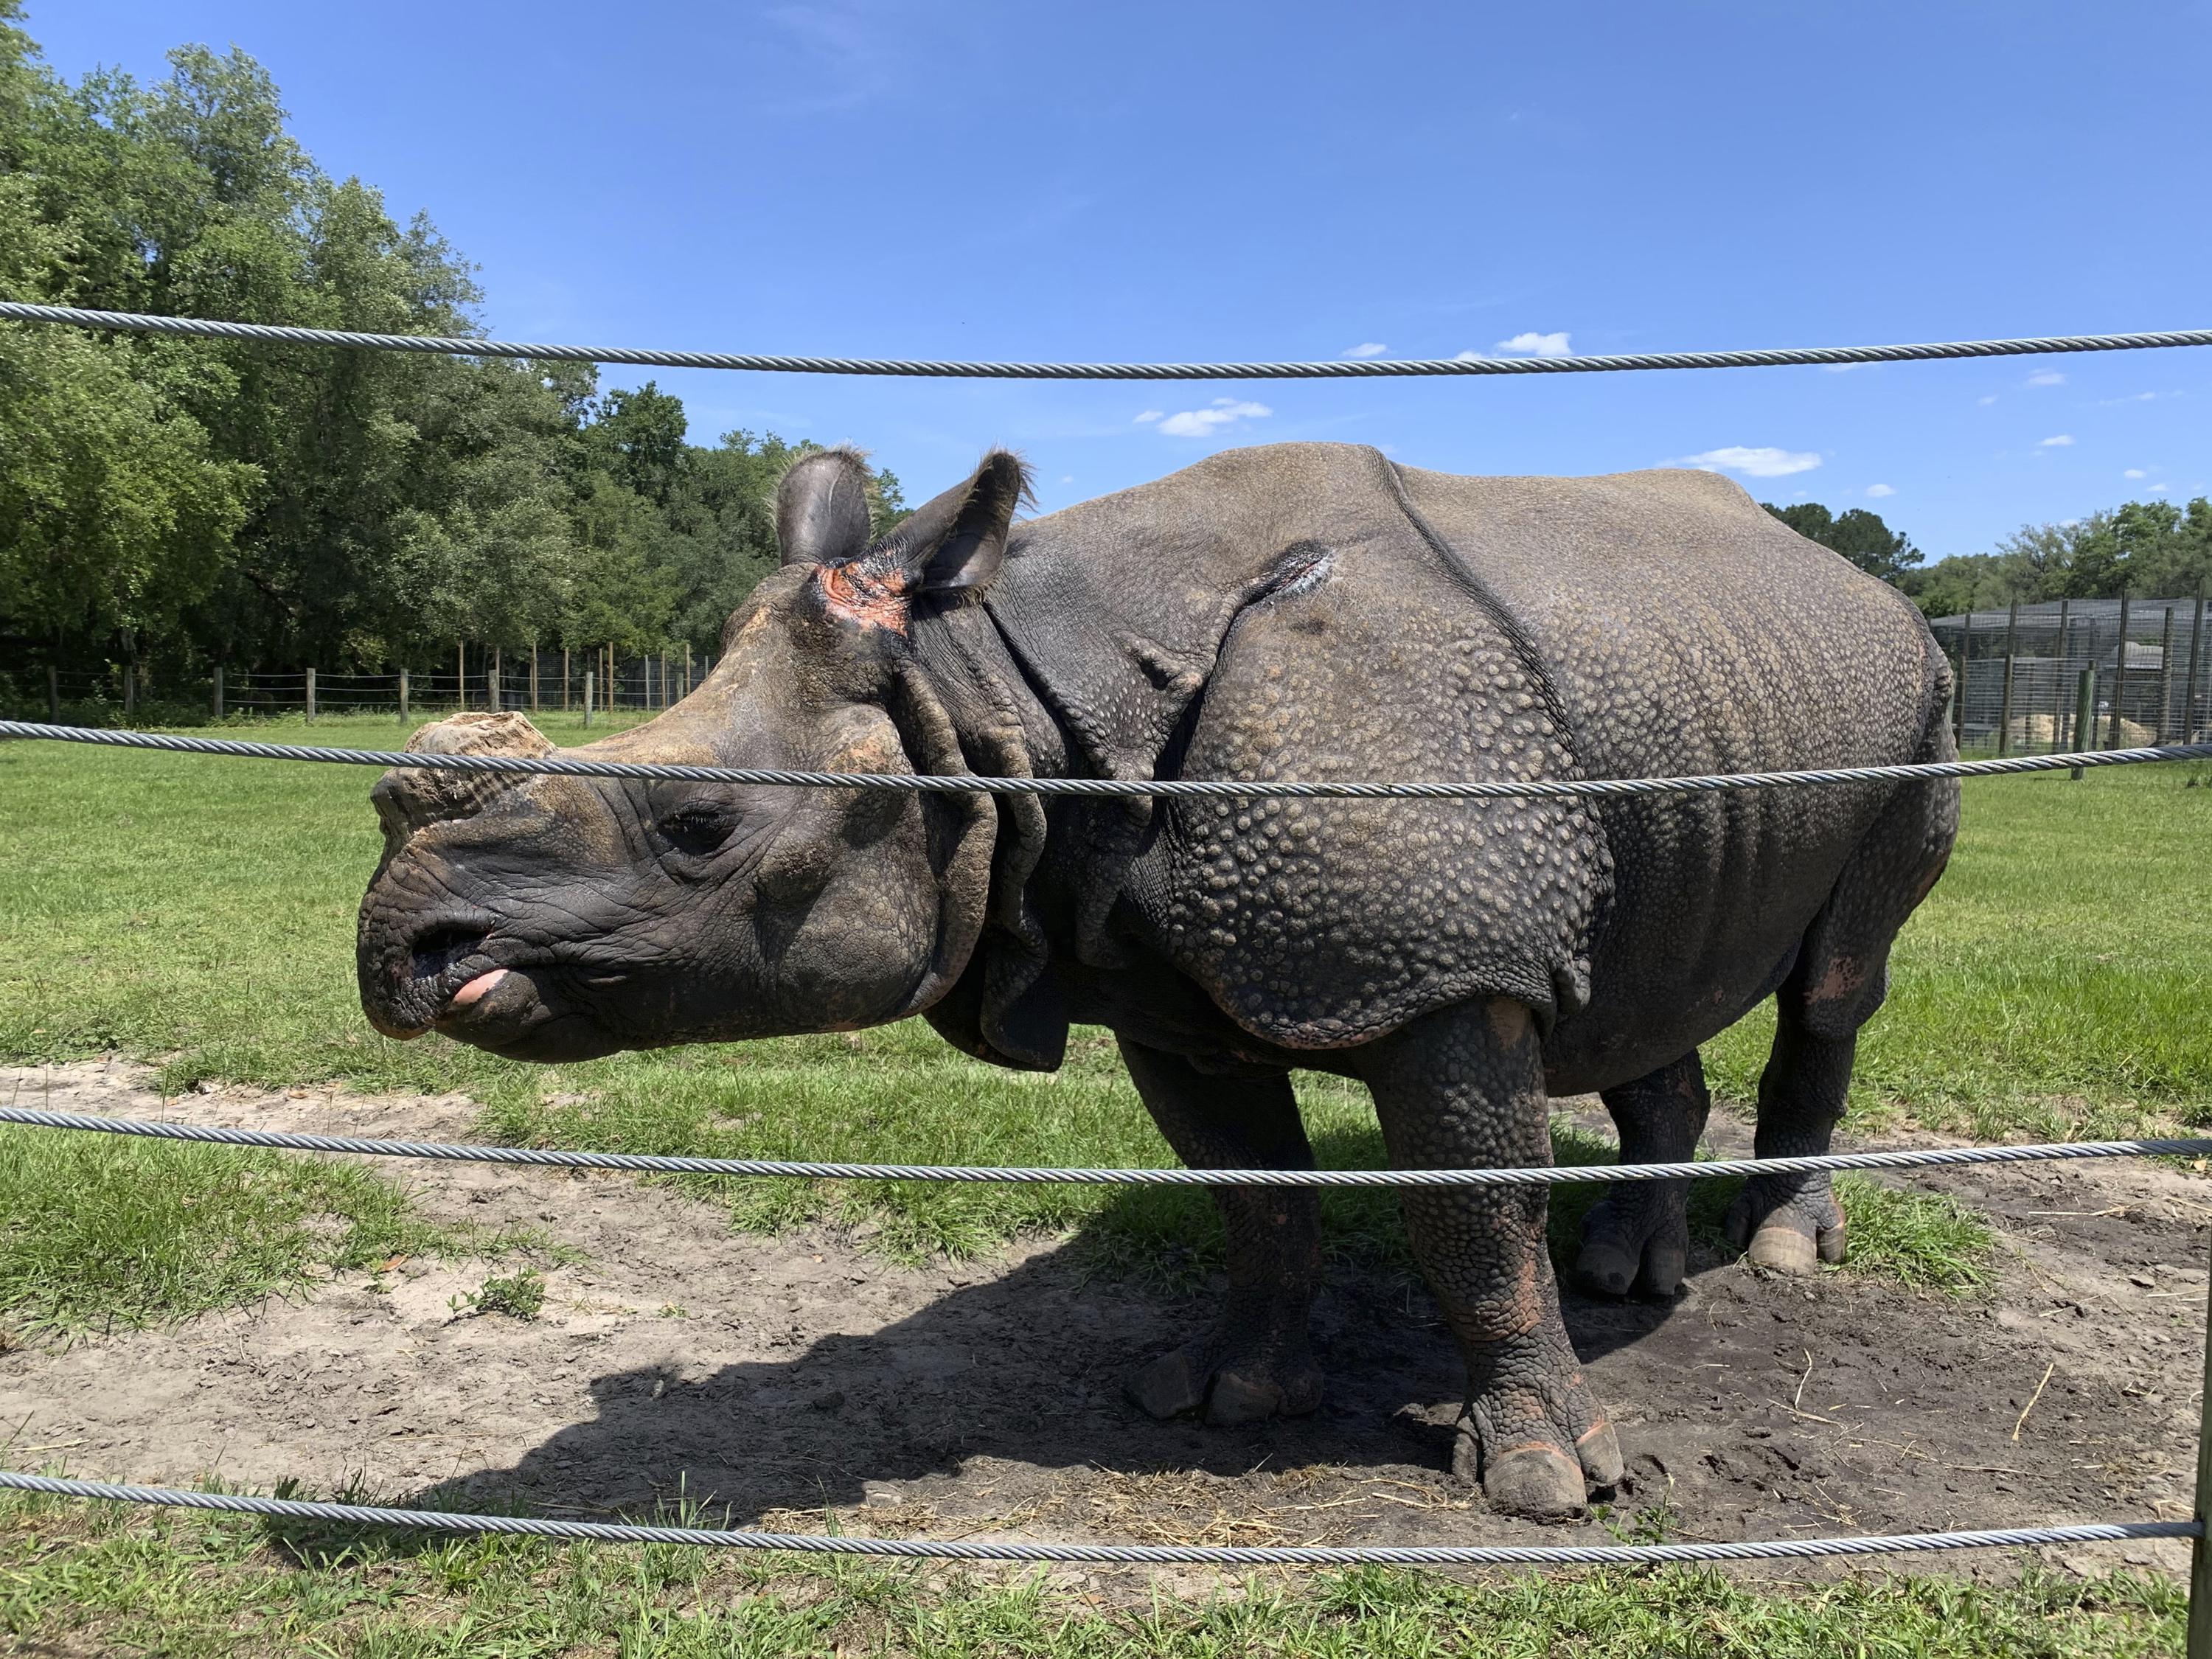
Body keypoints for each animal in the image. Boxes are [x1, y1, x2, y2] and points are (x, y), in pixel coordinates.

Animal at [357, 442, 1957, 1519]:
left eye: (698, 828)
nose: (407, 949)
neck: (993, 696)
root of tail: (1858, 576)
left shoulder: (1439, 968)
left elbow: (1470, 1215)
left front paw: (1549, 1482)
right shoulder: (1150, 978)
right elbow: (1259, 1197)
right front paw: (1227, 1399)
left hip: (1918, 700)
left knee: (1834, 981)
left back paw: (1779, 1258)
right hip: (1694, 706)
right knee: (1638, 987)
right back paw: (1631, 1273)